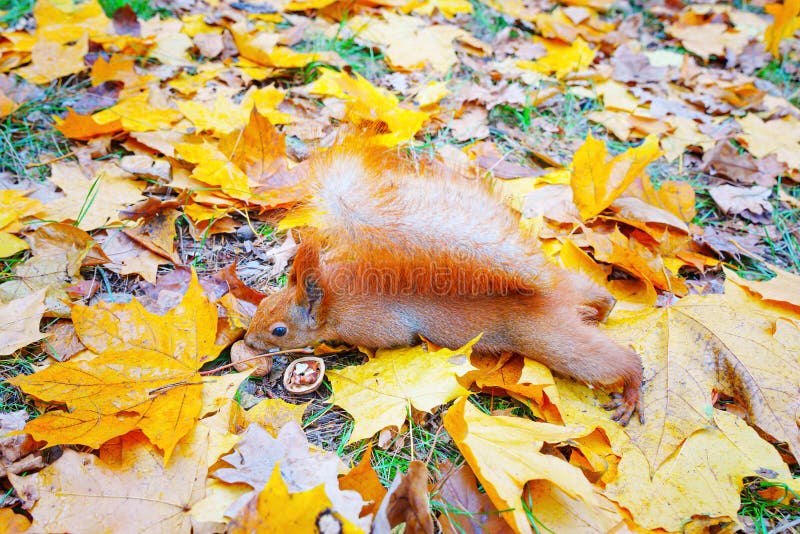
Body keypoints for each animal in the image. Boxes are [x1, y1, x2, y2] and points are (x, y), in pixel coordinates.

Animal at [245, 139, 644, 425]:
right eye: (263, 304)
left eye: (279, 330)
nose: (248, 341)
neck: (334, 295)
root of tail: (547, 293)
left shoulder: (375, 325)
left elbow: (390, 340)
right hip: (566, 287)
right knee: (591, 292)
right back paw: (603, 309)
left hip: (545, 336)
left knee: (610, 359)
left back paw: (631, 390)